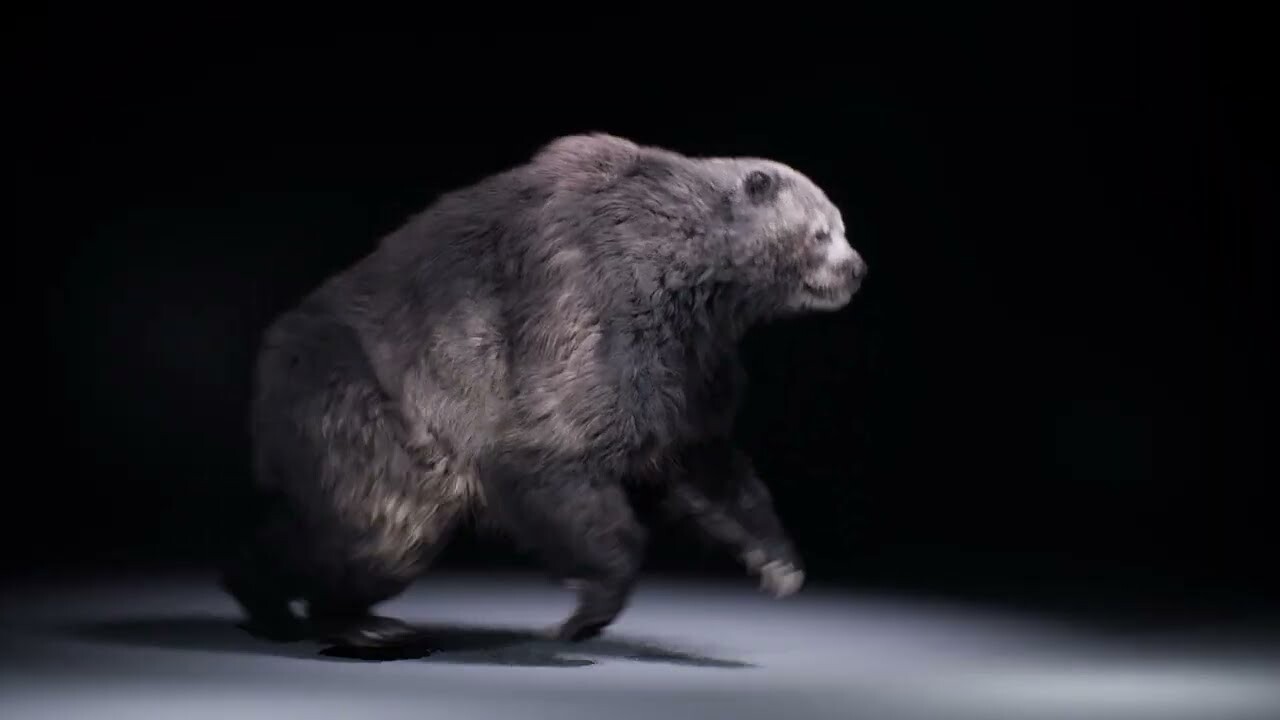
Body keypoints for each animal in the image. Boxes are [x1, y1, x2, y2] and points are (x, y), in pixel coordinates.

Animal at [221, 132, 868, 652]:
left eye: (839, 224)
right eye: (823, 232)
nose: (857, 268)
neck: (688, 267)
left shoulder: (690, 363)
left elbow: (702, 458)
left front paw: (777, 560)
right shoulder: (589, 311)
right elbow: (544, 452)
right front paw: (586, 610)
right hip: (366, 399)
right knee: (381, 525)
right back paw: (313, 611)